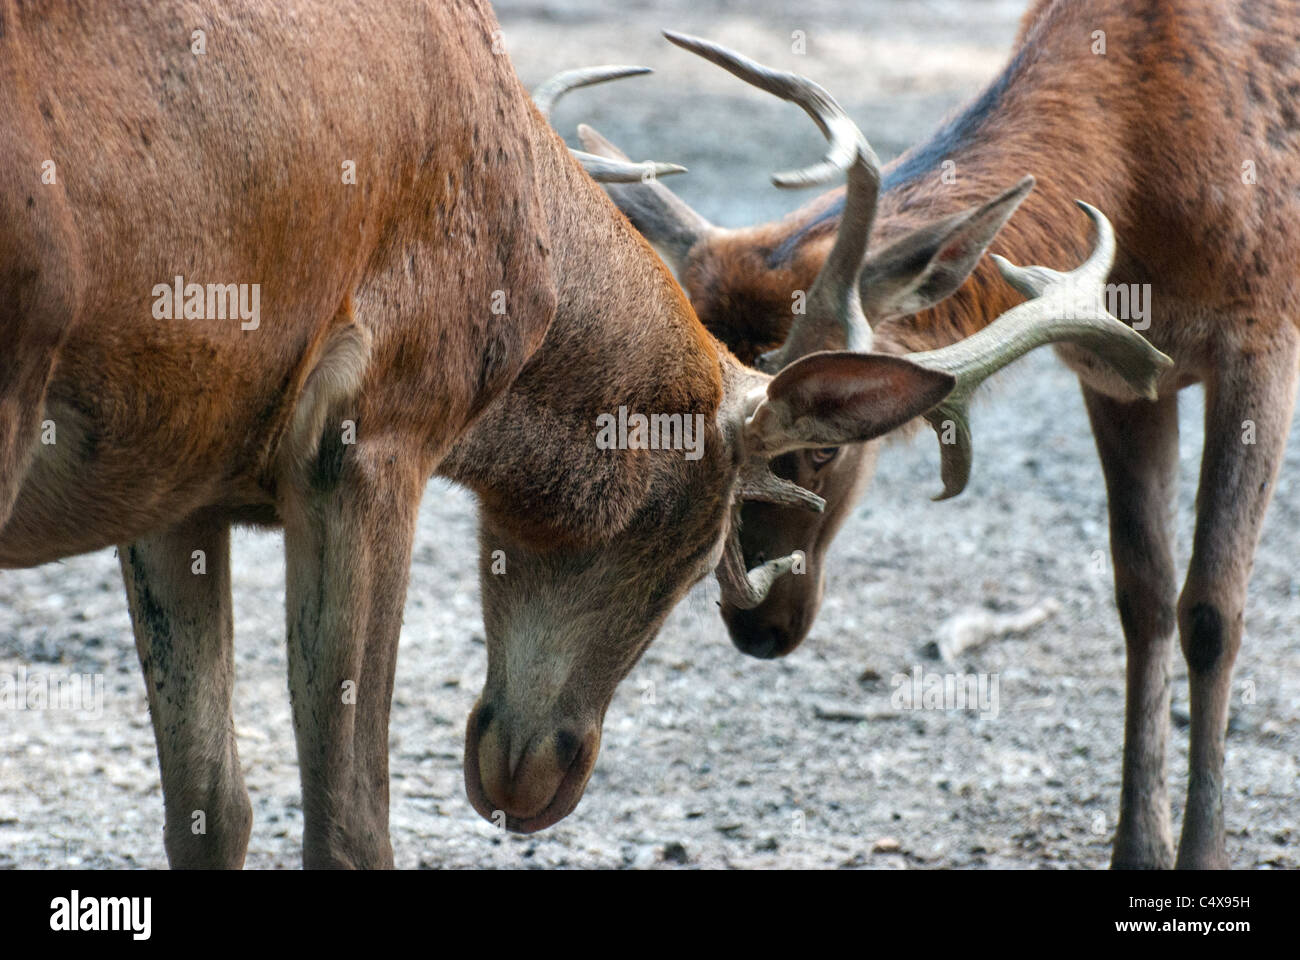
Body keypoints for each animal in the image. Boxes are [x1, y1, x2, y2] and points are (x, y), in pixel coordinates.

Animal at [0, 0, 1168, 868]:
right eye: (703, 548)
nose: (541, 775)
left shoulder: (176, 478)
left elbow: (212, 810)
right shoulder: (370, 433)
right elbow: (352, 828)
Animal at [572, 2, 1300, 869]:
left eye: (829, 445)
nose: (759, 631)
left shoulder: (1263, 334)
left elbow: (1214, 610)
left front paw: (1204, 853)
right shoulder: (1115, 374)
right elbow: (1143, 595)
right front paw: (1136, 847)